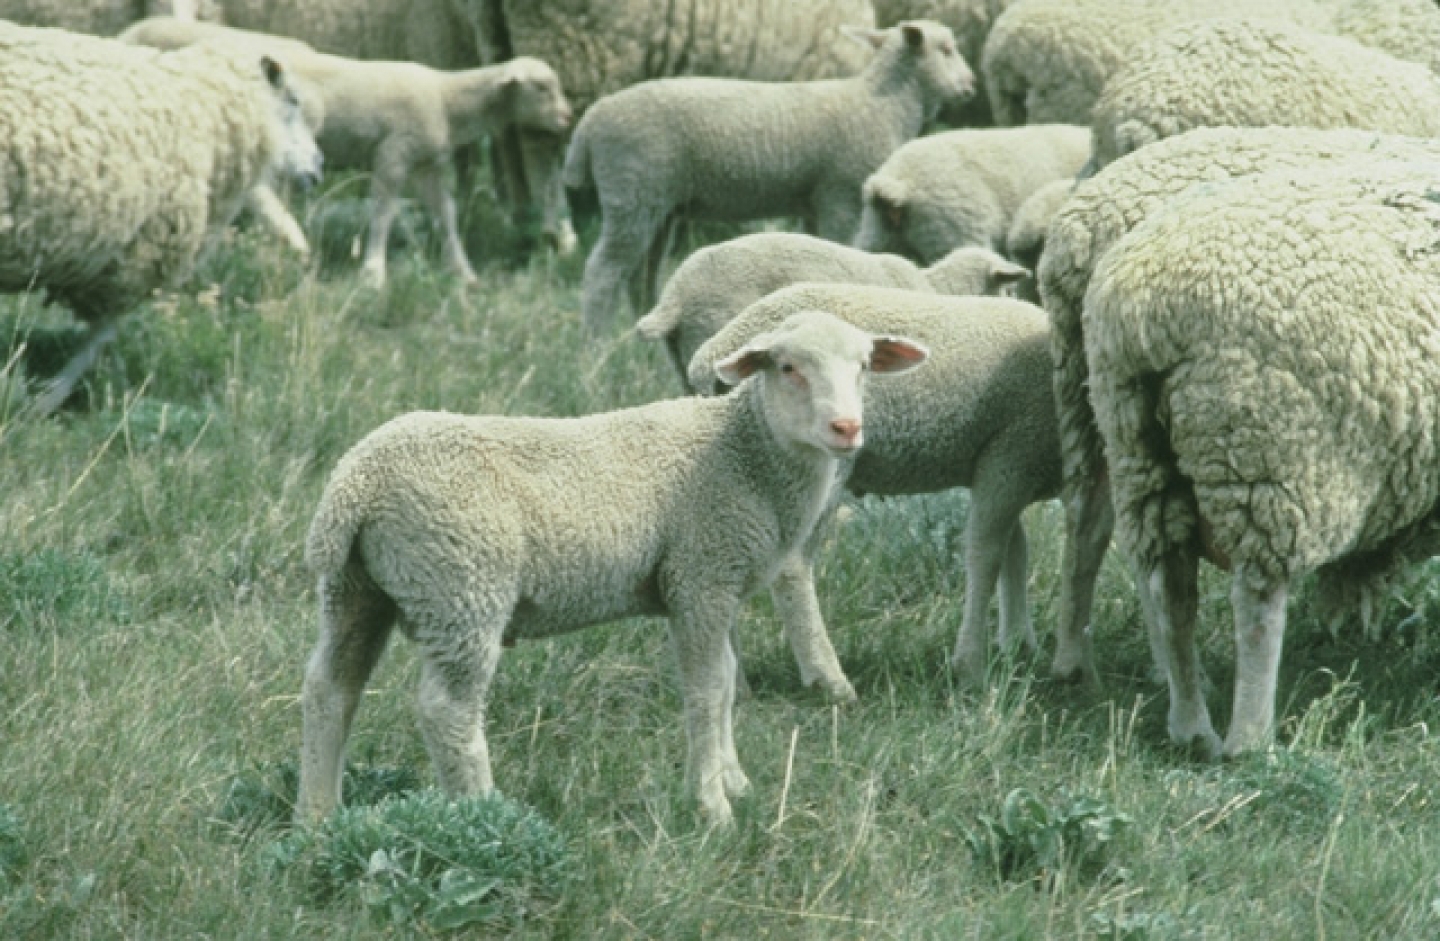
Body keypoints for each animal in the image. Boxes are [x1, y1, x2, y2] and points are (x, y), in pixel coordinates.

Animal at [0, 22, 322, 417]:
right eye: (293, 101)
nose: (318, 170)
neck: (207, 108)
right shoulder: (141, 254)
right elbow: (101, 335)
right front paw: (45, 399)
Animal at [296, 310, 929, 828]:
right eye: (789, 367)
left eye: (865, 367)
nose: (846, 429)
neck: (745, 455)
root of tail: (356, 483)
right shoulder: (700, 575)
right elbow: (706, 692)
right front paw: (712, 807)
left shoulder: (717, 583)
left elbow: (725, 682)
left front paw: (734, 782)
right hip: (462, 587)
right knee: (447, 711)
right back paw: (486, 814)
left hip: (360, 590)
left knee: (330, 690)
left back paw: (318, 820)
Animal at [564, 19, 977, 333]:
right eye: (946, 49)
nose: (971, 85)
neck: (885, 103)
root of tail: (590, 122)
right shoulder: (841, 196)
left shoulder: (815, 203)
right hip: (632, 191)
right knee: (603, 271)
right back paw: (594, 348)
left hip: (656, 205)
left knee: (639, 274)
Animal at [688, 284, 1060, 689]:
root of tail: (714, 353)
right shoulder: (1011, 453)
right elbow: (987, 554)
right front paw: (973, 667)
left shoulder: (1009, 466)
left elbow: (1016, 551)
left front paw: (1019, 645)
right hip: (822, 463)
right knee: (792, 565)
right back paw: (828, 679)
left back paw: (738, 687)